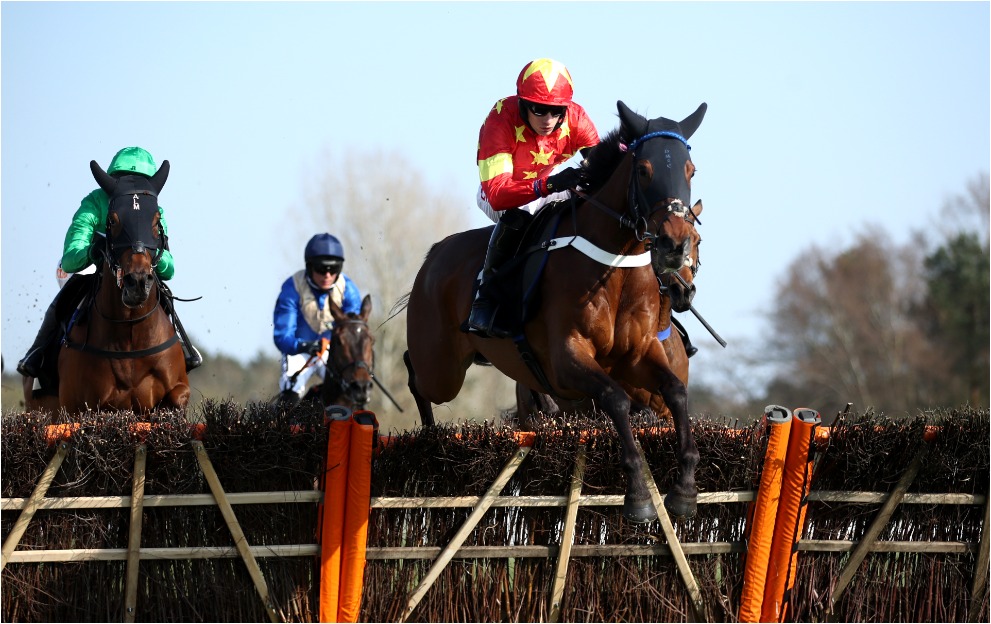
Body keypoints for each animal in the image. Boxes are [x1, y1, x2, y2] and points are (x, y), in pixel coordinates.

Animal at [403, 101, 707, 523]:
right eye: (644, 170)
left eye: (690, 170)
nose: (674, 244)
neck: (614, 262)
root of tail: (434, 255)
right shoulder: (568, 357)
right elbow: (616, 399)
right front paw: (638, 496)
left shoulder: (640, 354)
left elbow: (676, 393)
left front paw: (685, 490)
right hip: (440, 367)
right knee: (415, 373)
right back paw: (429, 438)